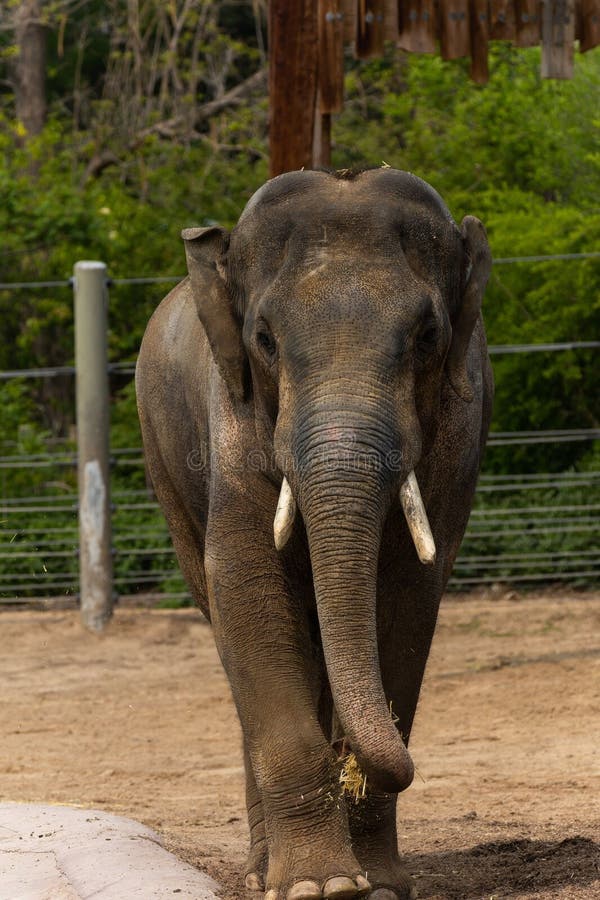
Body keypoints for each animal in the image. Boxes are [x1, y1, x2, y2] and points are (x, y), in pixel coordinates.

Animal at [136, 167, 493, 900]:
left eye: (428, 336)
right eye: (265, 339)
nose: (383, 764)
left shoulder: (457, 433)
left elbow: (408, 596)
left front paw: (376, 886)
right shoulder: (232, 416)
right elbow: (245, 585)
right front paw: (316, 887)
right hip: (162, 460)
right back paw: (260, 875)